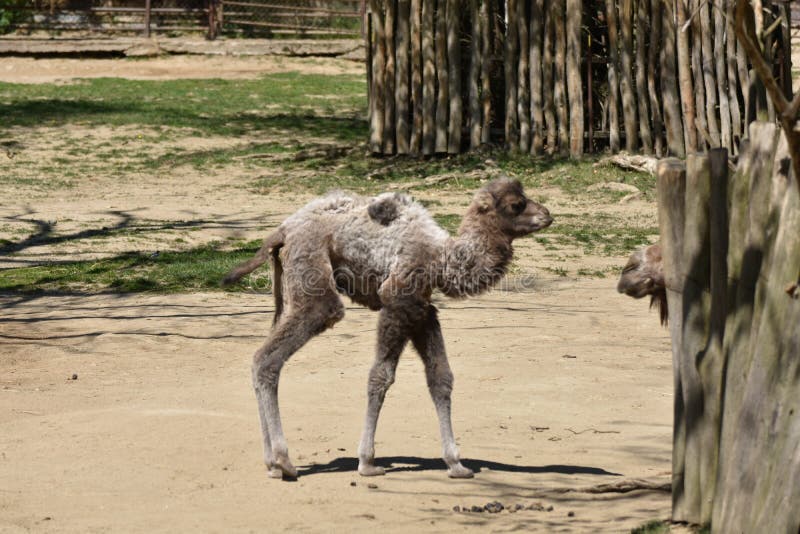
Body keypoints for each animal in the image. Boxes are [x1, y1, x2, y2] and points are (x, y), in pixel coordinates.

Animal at [223, 177, 553, 480]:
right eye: (516, 204)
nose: (547, 214)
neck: (442, 258)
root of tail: (282, 230)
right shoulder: (397, 298)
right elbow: (380, 376)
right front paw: (367, 462)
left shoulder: (422, 310)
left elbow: (441, 378)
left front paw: (456, 464)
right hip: (313, 273)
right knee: (273, 354)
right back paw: (284, 461)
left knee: (262, 357)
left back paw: (272, 464)